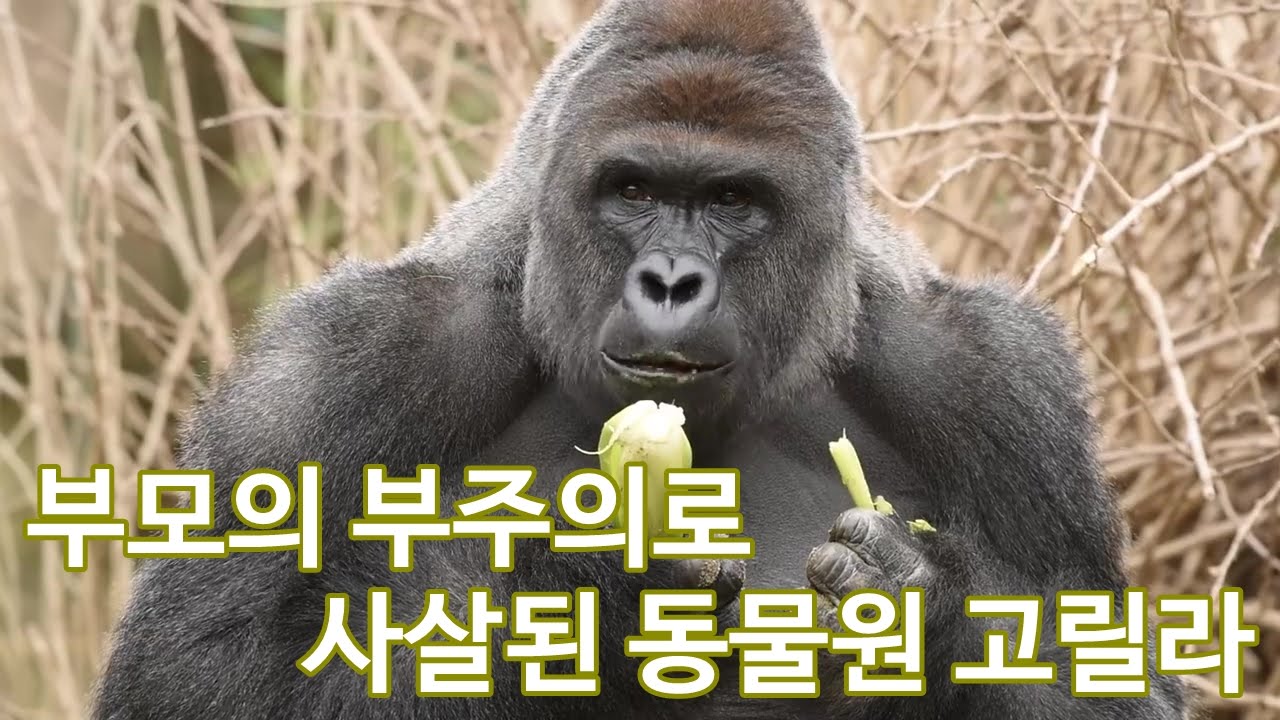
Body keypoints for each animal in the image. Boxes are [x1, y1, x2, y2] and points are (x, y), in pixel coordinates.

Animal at [91, 1, 1187, 718]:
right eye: (632, 189)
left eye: (732, 201)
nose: (669, 281)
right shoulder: (327, 368)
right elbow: (204, 678)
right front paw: (577, 602)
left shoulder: (999, 379)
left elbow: (1109, 677)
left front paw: (929, 608)